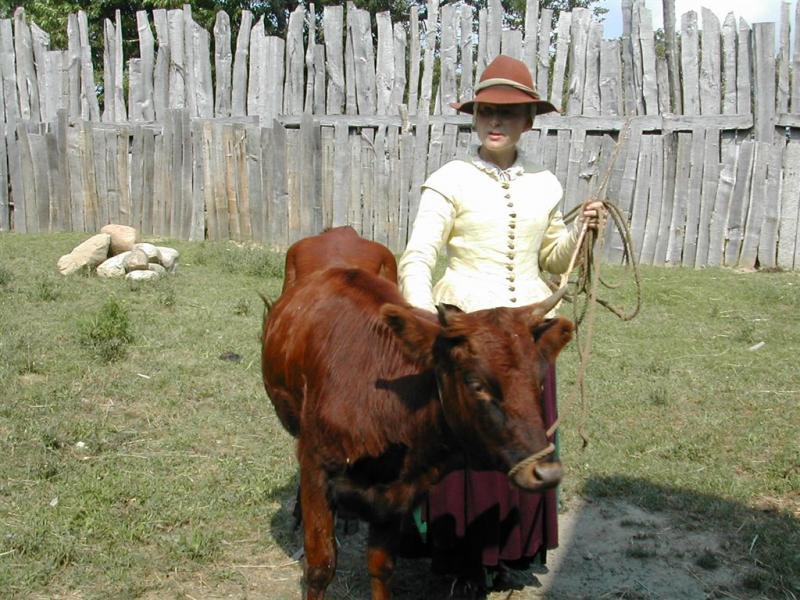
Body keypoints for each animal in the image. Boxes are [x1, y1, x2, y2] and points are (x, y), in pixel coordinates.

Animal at [261, 265, 573, 600]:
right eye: (475, 383)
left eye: (539, 381)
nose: (547, 473)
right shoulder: (316, 468)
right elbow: (321, 567)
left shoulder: (395, 494)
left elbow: (381, 567)